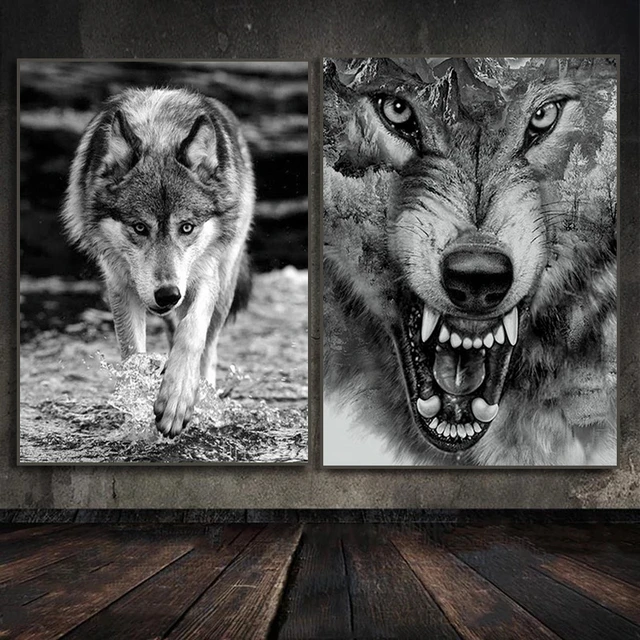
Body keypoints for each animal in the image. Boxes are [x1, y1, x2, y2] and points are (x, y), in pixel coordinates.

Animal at [62, 87, 254, 437]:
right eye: (140, 227)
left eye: (186, 227)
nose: (167, 295)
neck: (160, 133)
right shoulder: (120, 285)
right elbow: (132, 357)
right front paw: (137, 405)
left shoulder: (205, 276)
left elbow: (192, 333)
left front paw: (178, 397)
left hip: (224, 284)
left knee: (207, 347)